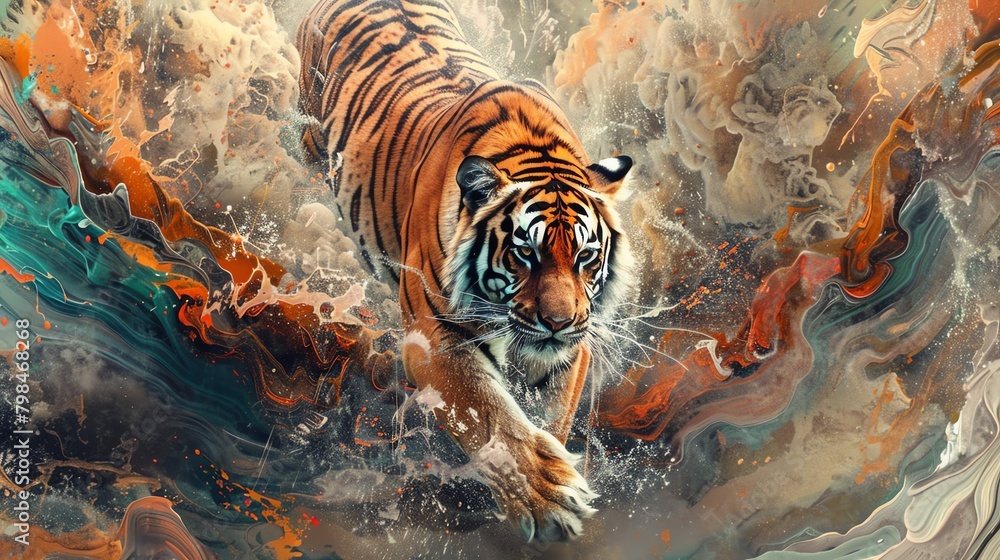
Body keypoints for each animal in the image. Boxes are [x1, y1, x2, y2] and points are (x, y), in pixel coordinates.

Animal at [297, 0, 633, 542]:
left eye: (586, 256)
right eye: (525, 253)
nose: (558, 323)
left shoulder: (567, 350)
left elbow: (550, 414)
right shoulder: (435, 337)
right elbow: (486, 410)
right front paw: (547, 496)